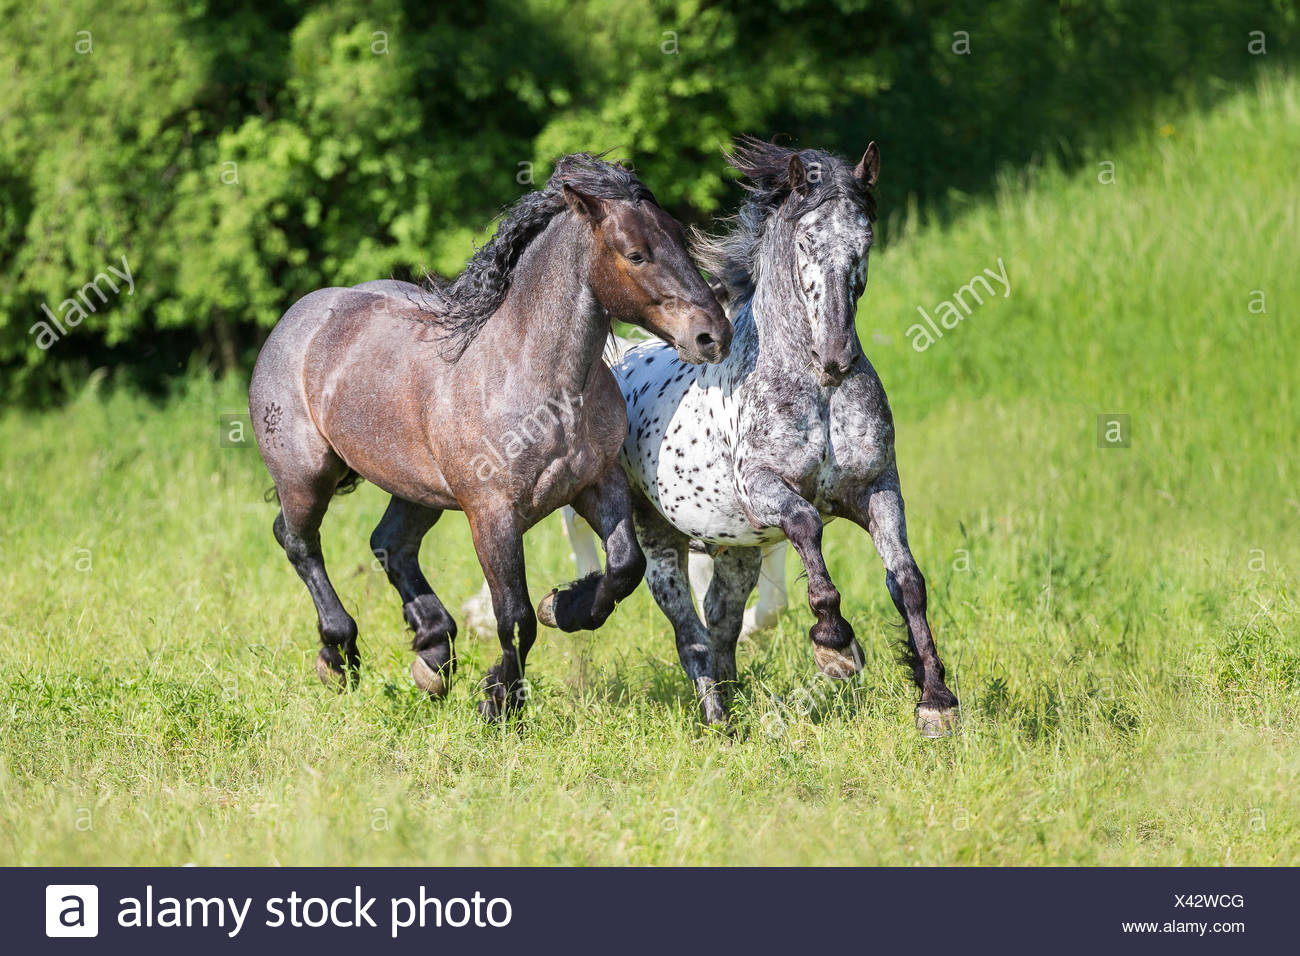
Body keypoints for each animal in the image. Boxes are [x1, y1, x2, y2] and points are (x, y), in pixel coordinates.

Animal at [249, 153, 731, 720]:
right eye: (635, 253)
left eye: (680, 235)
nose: (712, 335)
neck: (536, 384)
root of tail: (301, 316)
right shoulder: (491, 513)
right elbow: (515, 617)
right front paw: (501, 703)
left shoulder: (597, 485)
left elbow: (623, 569)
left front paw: (563, 607)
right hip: (306, 474)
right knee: (299, 542)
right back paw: (340, 655)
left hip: (417, 489)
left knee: (391, 544)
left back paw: (433, 657)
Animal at [613, 137, 960, 735]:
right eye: (805, 240)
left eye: (866, 239)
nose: (837, 357)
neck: (814, 388)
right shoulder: (763, 488)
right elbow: (806, 525)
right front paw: (835, 647)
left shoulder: (877, 487)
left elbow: (908, 580)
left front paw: (935, 700)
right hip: (658, 536)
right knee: (688, 629)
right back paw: (718, 721)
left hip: (737, 548)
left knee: (721, 617)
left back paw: (733, 701)